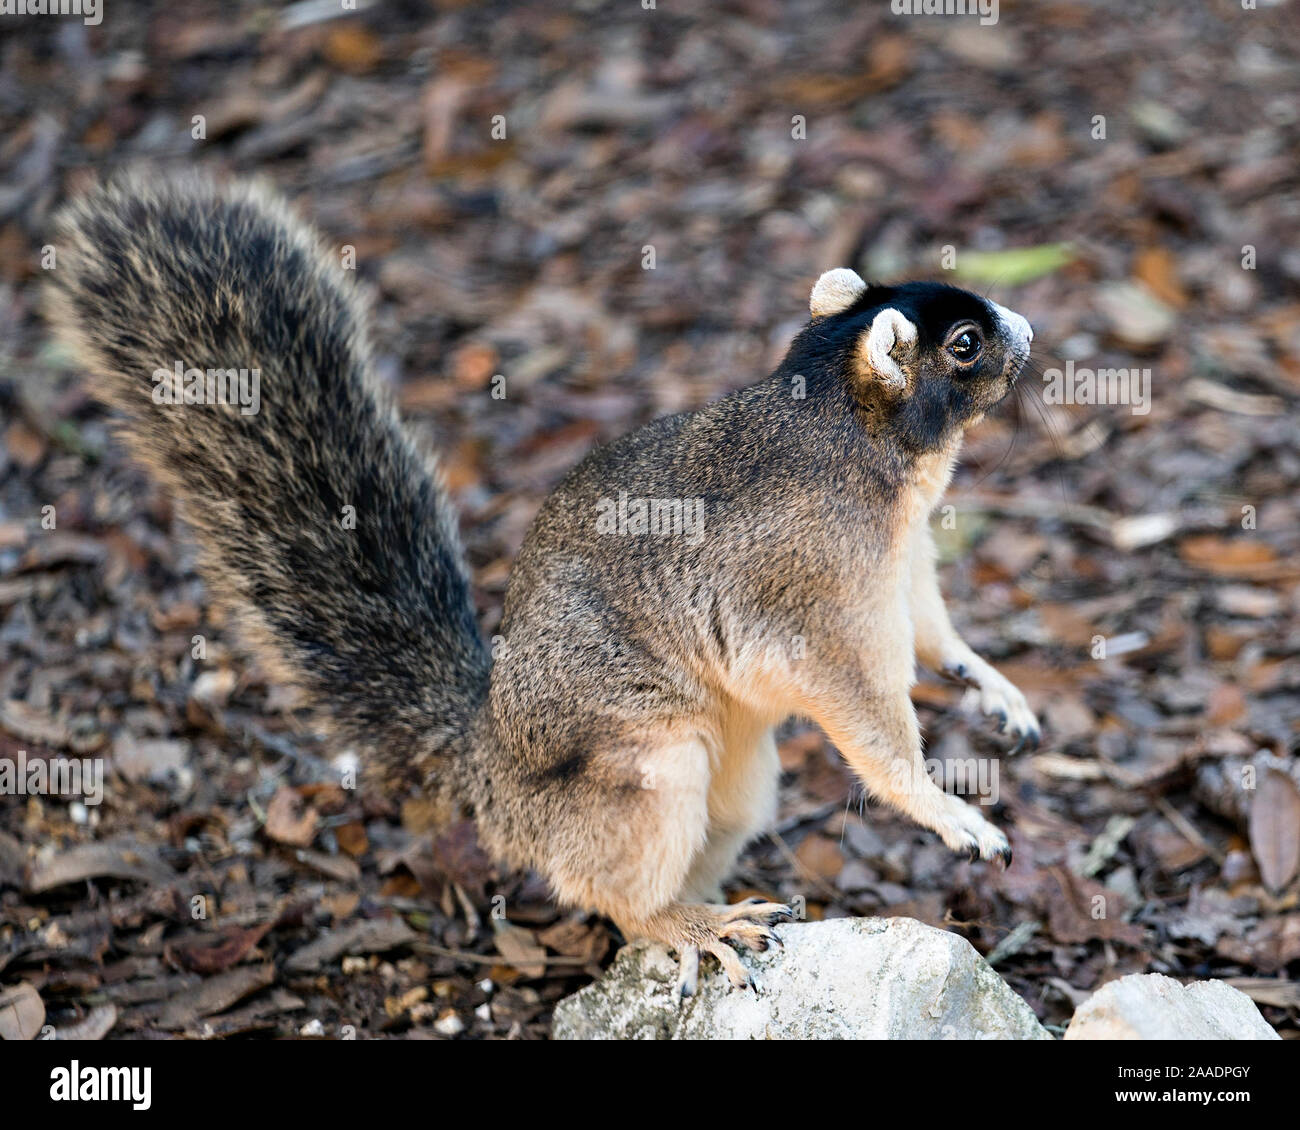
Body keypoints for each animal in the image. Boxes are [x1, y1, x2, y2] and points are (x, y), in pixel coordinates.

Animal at [46, 175, 1041, 994]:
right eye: (964, 344)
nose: (1029, 332)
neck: (863, 446)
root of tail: (490, 777)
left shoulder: (905, 571)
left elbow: (935, 634)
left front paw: (992, 688)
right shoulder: (813, 598)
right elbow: (867, 719)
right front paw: (950, 813)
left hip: (737, 783)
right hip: (649, 768)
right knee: (616, 898)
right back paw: (692, 926)